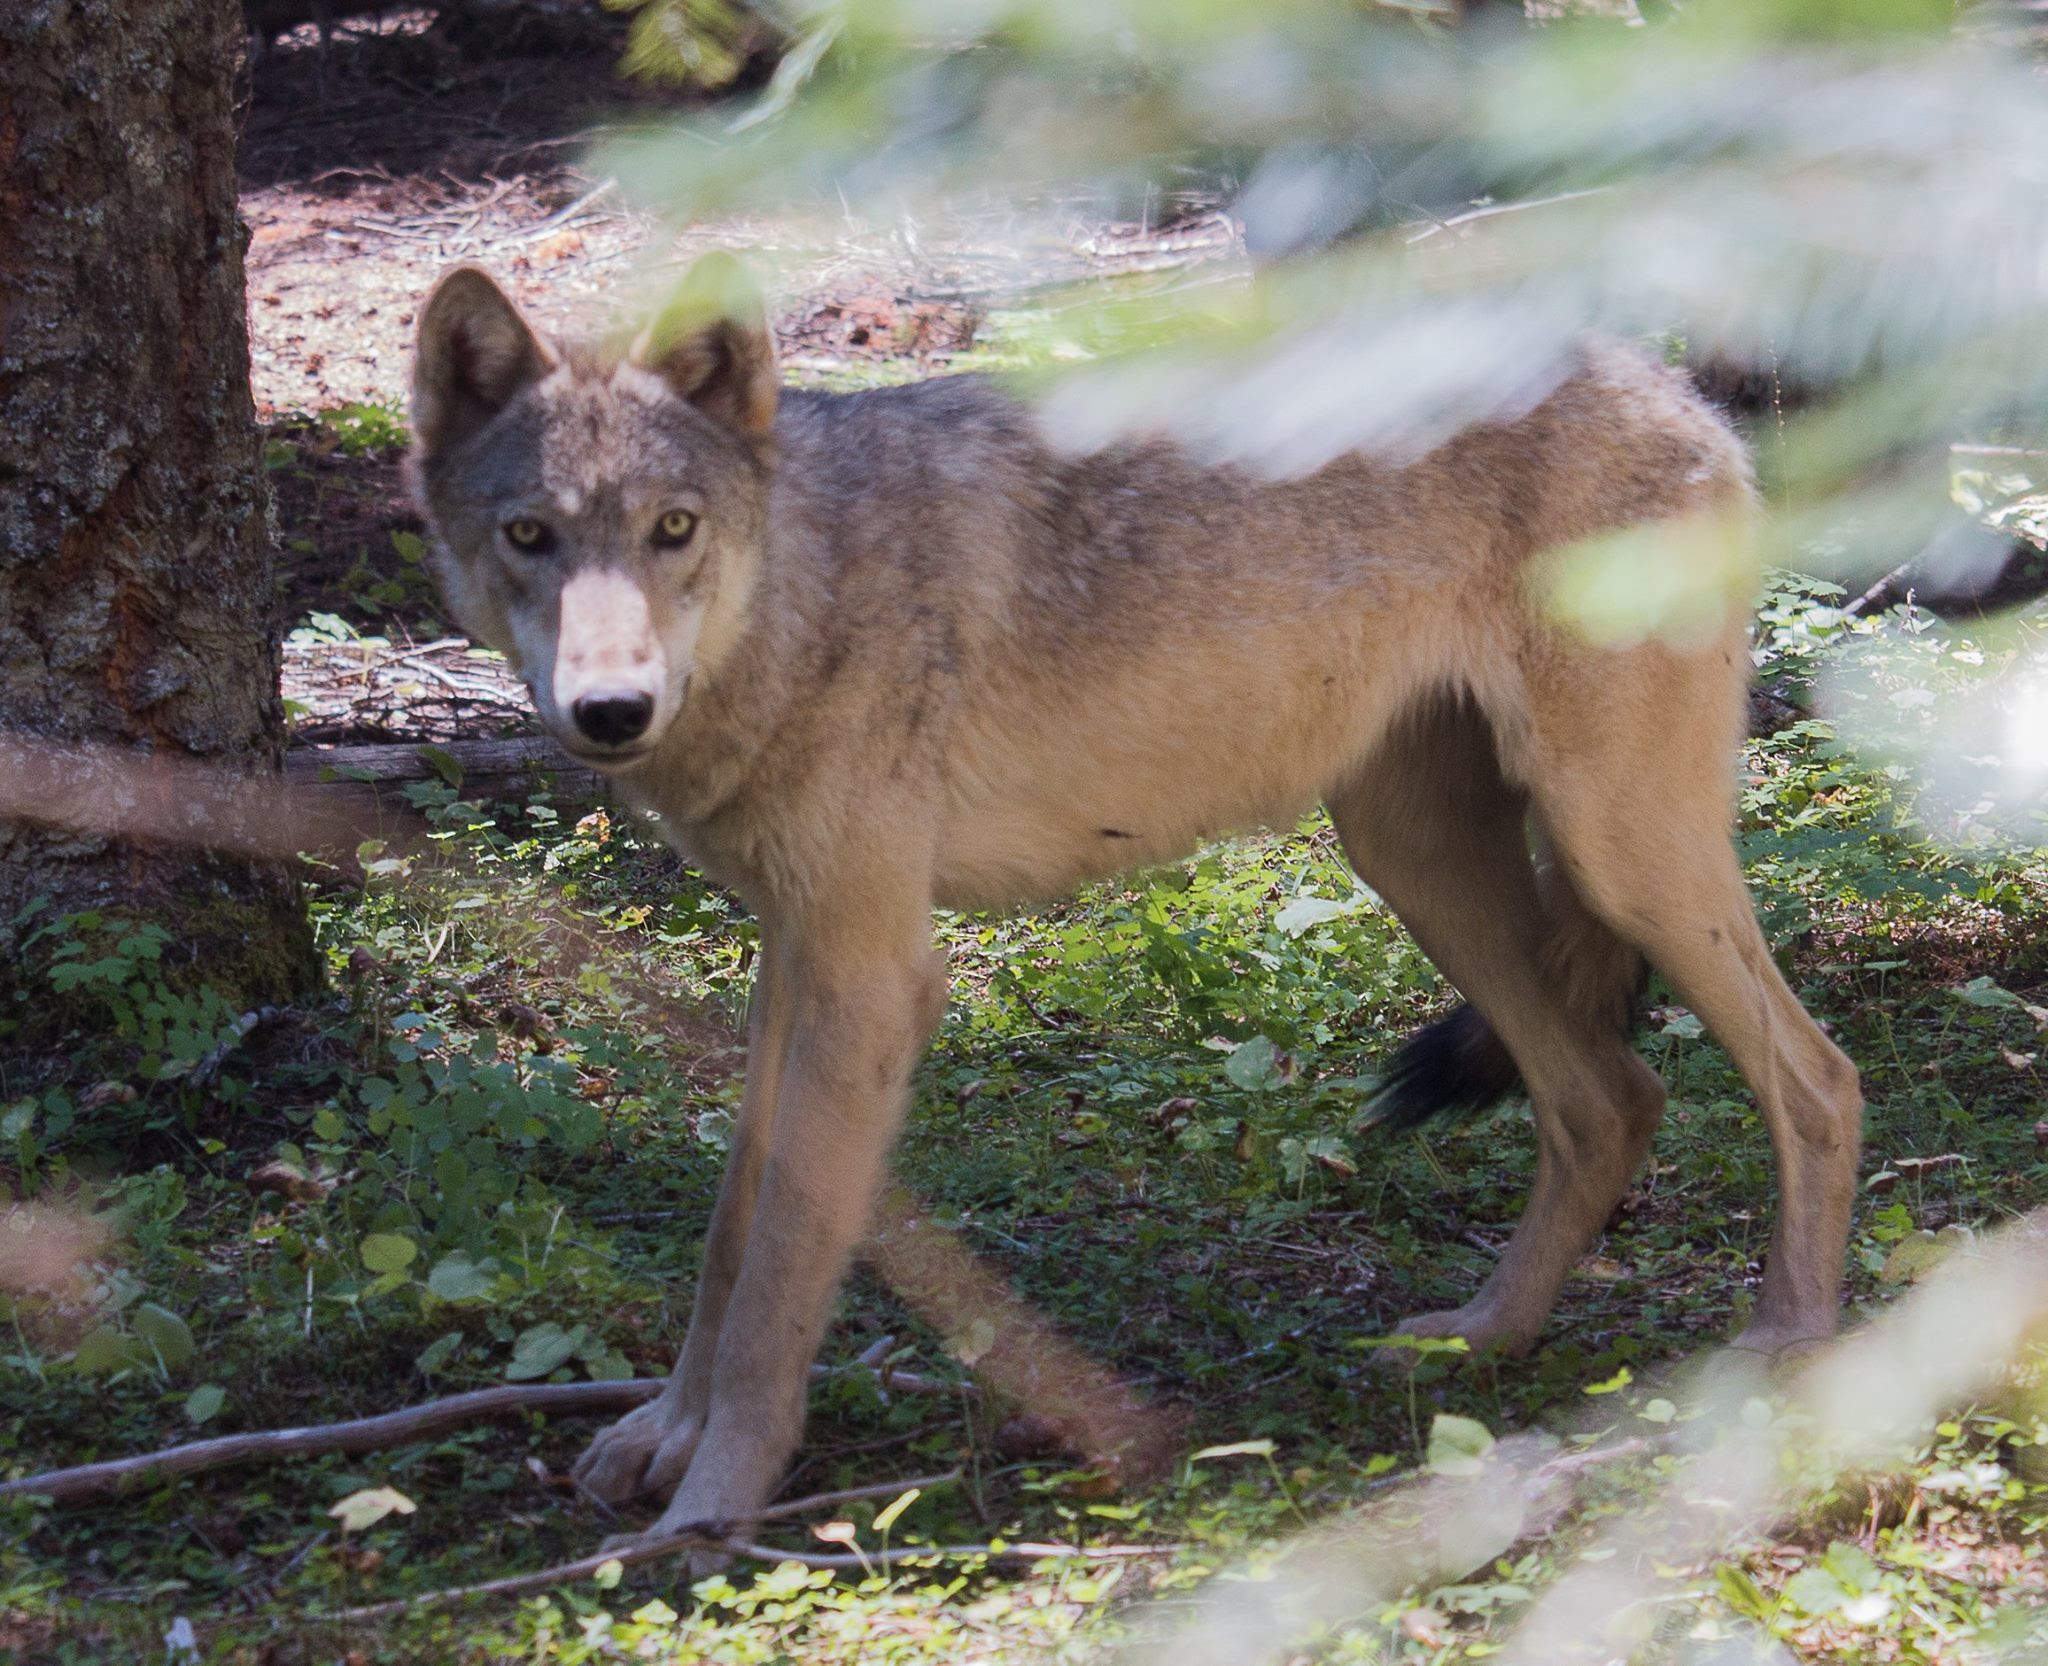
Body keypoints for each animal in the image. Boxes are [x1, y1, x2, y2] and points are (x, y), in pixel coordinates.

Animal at [408, 256, 1862, 1542]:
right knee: (1609, 1098)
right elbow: (727, 1234)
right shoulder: (796, 954)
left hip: (1618, 852)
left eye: (674, 530)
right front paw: (664, 1434)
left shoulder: (873, 980)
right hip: (1417, 861)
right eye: (531, 537)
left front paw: (708, 1510)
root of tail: (1674, 385)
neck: (804, 593)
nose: (611, 708)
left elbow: (778, 1279)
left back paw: (1790, 1352)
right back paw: (1479, 1340)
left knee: (1815, 1078)